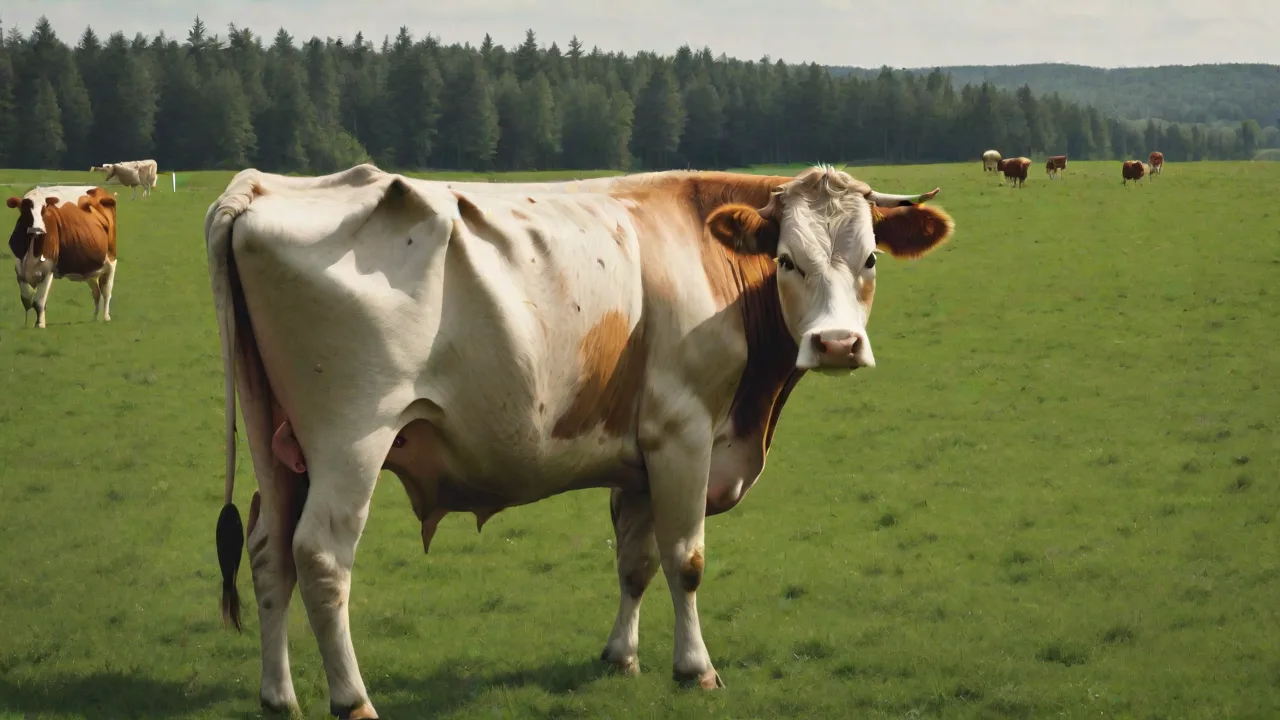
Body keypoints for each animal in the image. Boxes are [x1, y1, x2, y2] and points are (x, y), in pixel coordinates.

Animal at [7, 185, 118, 328]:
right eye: (25, 209)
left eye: (44, 209)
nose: (37, 229)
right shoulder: (20, 271)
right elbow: (26, 299)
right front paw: (27, 323)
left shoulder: (47, 270)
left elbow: (38, 301)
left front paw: (40, 324)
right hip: (88, 267)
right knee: (96, 292)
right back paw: (94, 318)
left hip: (111, 261)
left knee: (106, 291)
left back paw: (105, 317)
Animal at [205, 163, 956, 718]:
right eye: (788, 261)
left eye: (870, 258)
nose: (836, 344)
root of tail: (261, 188)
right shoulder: (683, 431)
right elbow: (685, 559)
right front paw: (695, 667)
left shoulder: (641, 454)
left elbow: (635, 561)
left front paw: (621, 657)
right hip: (350, 441)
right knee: (321, 557)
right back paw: (352, 700)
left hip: (279, 445)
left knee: (269, 551)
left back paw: (279, 696)